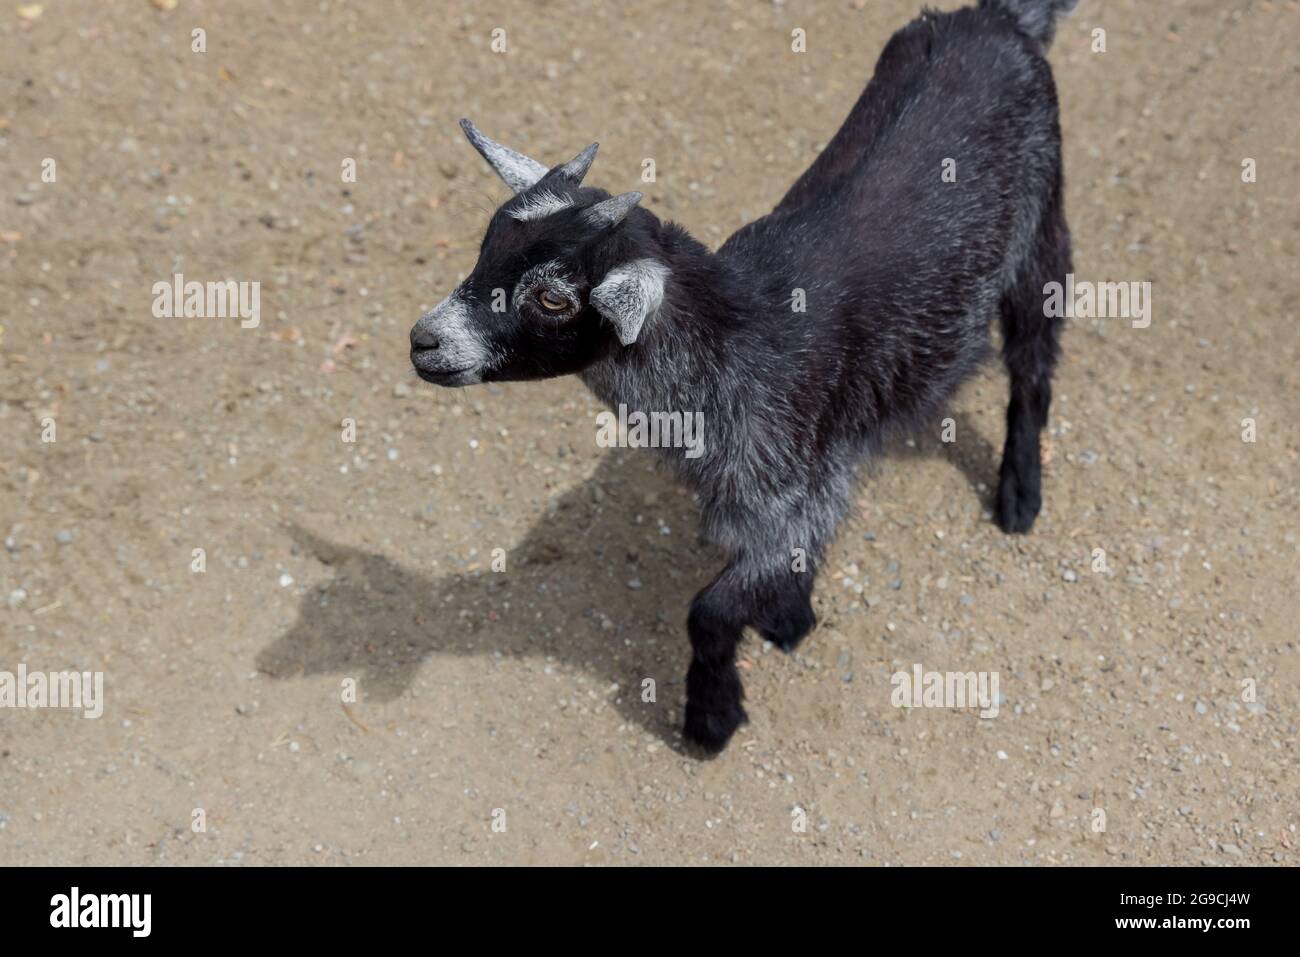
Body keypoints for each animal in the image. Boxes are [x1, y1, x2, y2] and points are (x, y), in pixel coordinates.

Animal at [410, 0, 1078, 753]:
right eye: (487, 244)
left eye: (552, 298)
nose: (423, 342)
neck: (734, 337)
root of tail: (995, 18)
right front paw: (789, 618)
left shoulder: (793, 488)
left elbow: (708, 610)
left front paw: (713, 714)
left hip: (1042, 223)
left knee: (1034, 362)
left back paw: (1020, 496)